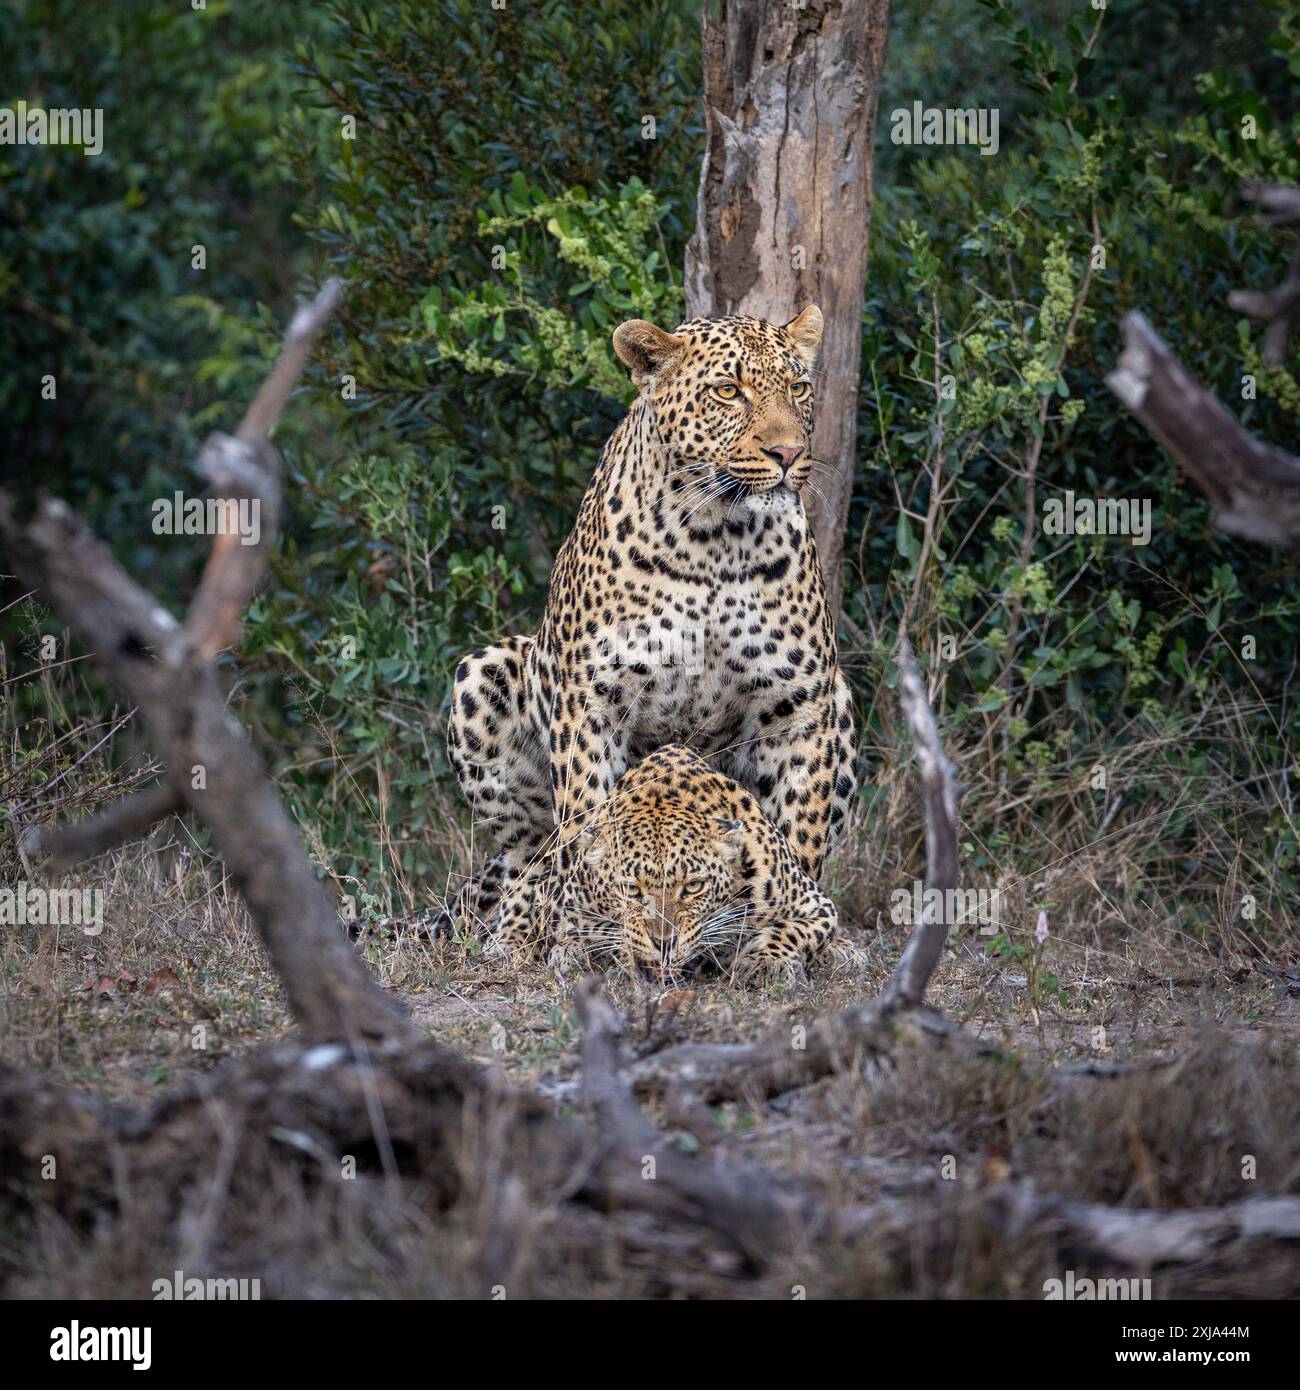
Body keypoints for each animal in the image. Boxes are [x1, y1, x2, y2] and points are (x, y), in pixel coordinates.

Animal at [444, 305, 856, 952]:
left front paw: (787, 936)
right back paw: (519, 929)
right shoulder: (593, 700)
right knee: (528, 854)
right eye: (728, 391)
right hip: (484, 675)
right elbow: (588, 821)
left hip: (842, 699)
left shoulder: (800, 703)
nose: (789, 453)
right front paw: (593, 938)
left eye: (796, 387)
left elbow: (799, 836)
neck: (718, 536)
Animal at [554, 744, 837, 978]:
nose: (664, 943)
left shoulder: (815, 906)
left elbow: (790, 932)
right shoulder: (568, 907)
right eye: (630, 889)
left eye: (693, 887)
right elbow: (595, 930)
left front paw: (765, 962)